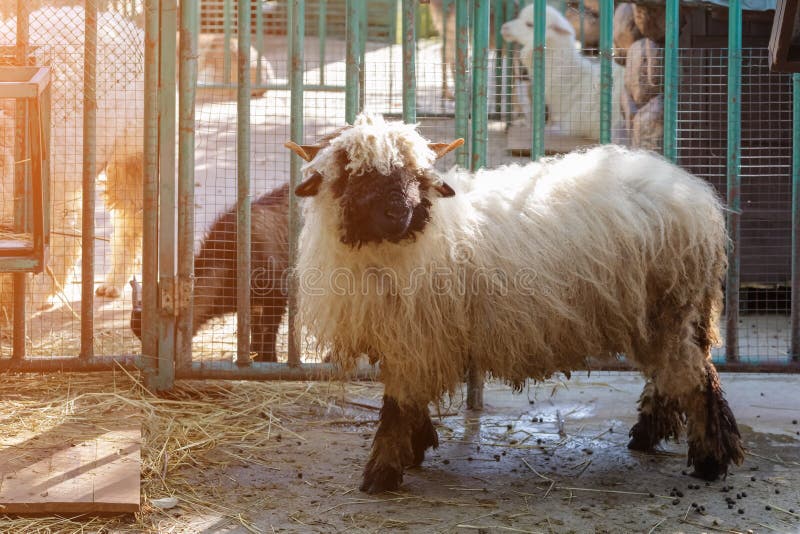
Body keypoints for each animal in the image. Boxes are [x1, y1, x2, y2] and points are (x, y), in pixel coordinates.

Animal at [130, 184, 289, 362]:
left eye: (158, 330)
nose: (161, 360)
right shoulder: (253, 302)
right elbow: (255, 329)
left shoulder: (277, 295)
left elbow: (268, 329)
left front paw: (269, 359)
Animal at [287, 112, 744, 494]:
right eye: (353, 173)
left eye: (418, 175)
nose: (400, 212)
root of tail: (694, 194)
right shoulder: (410, 340)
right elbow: (408, 402)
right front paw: (415, 449)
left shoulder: (417, 340)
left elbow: (398, 405)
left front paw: (382, 472)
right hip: (654, 317)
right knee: (669, 375)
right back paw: (647, 436)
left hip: (672, 309)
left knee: (697, 379)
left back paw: (710, 461)